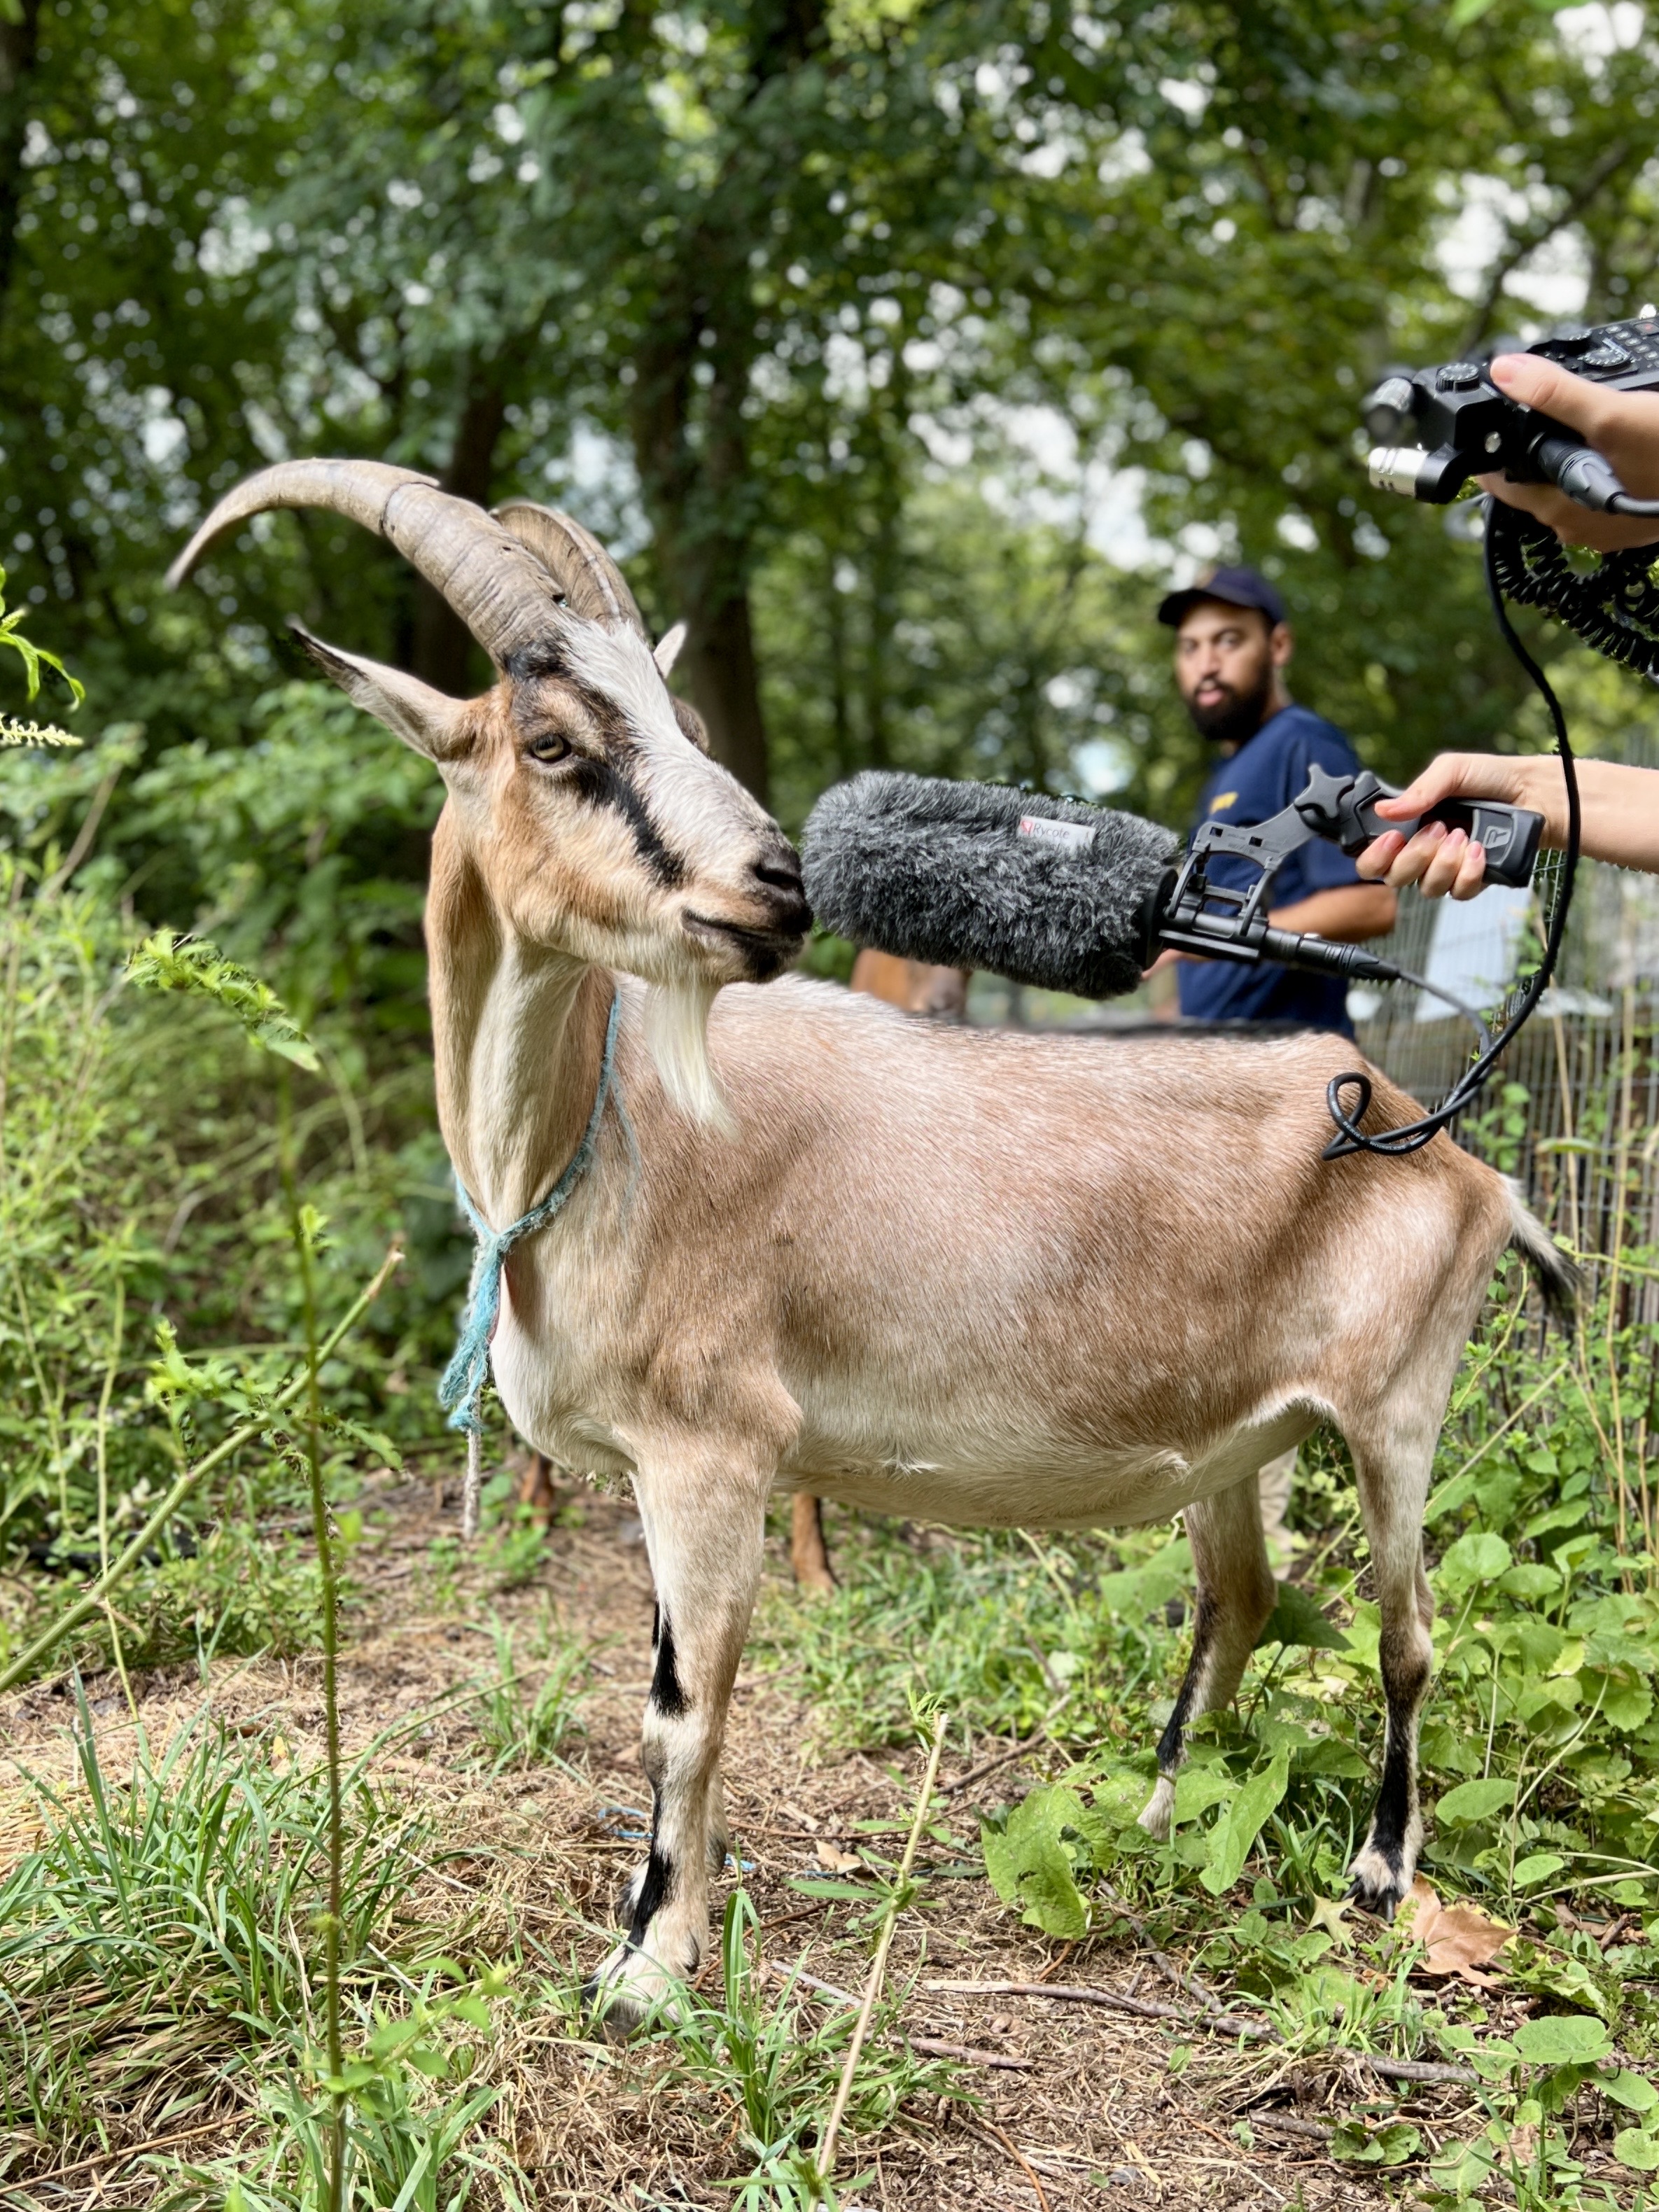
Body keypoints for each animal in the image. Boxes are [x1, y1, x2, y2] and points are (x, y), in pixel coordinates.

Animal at [171, 462, 1575, 2028]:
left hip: (1399, 1408)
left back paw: (1382, 1876)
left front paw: (649, 1961)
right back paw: (1158, 1816)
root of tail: (1444, 1145)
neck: (601, 1137)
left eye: (682, 725)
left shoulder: (711, 1451)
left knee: (1407, 1630)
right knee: (1247, 1594)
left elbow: (682, 1709)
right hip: (1241, 1438)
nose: (776, 886)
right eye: (551, 739)